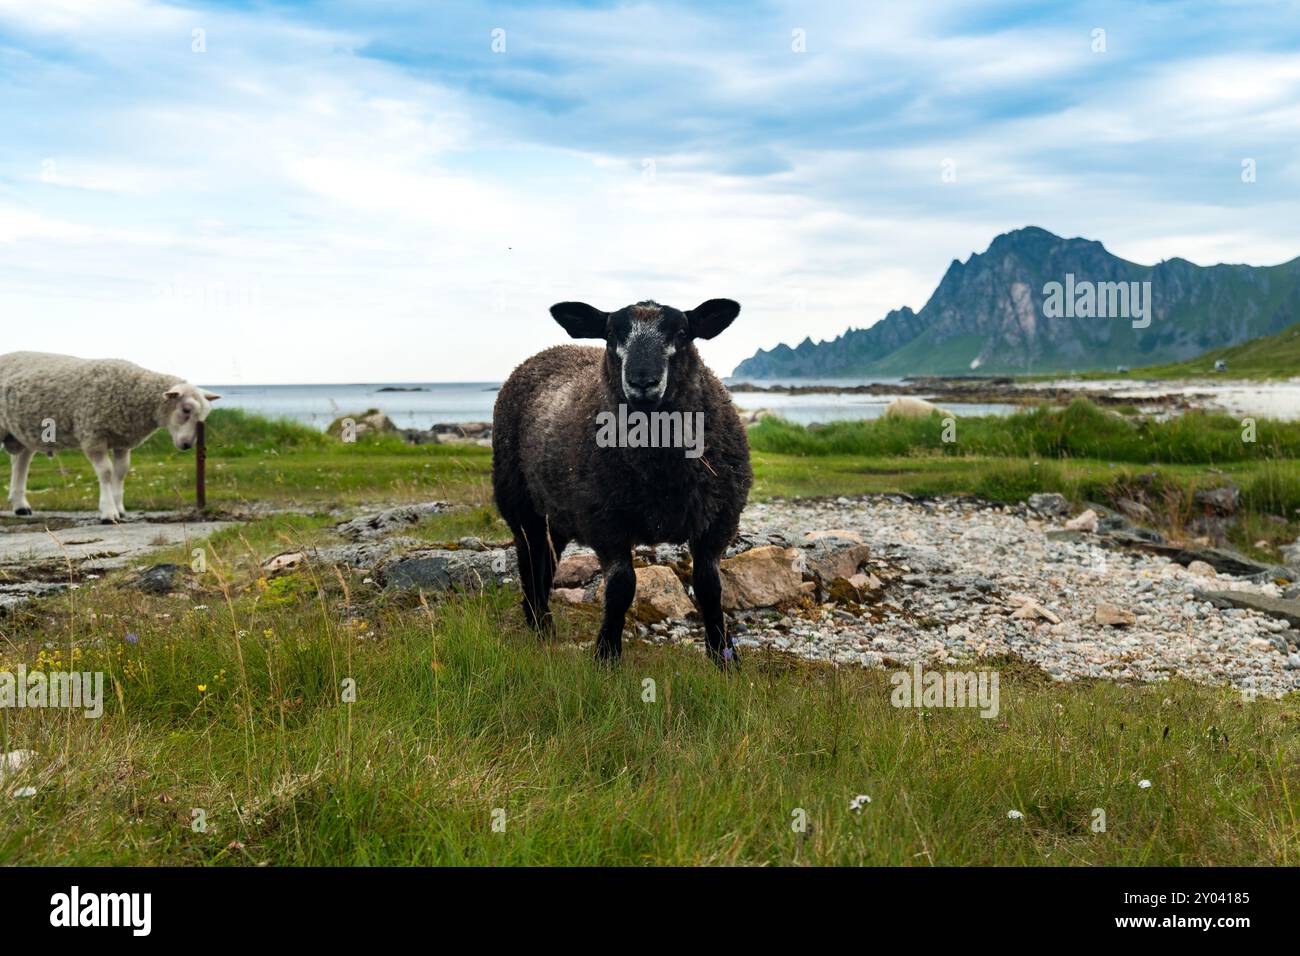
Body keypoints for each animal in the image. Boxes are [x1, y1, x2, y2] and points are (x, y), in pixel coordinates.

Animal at [0, 352, 220, 523]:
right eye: (186, 409)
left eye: (204, 415)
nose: (187, 445)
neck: (133, 392)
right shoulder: (93, 436)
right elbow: (106, 472)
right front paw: (108, 512)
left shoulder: (122, 441)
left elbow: (121, 472)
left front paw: (120, 509)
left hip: (21, 432)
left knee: (21, 463)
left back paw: (21, 506)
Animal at [492, 299, 753, 666]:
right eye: (611, 334)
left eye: (682, 333)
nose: (643, 381)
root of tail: (545, 352)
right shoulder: (606, 521)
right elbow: (621, 588)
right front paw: (606, 656)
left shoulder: (718, 520)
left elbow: (710, 587)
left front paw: (724, 657)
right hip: (519, 503)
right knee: (530, 562)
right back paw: (539, 628)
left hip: (557, 513)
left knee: (547, 564)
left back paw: (543, 627)